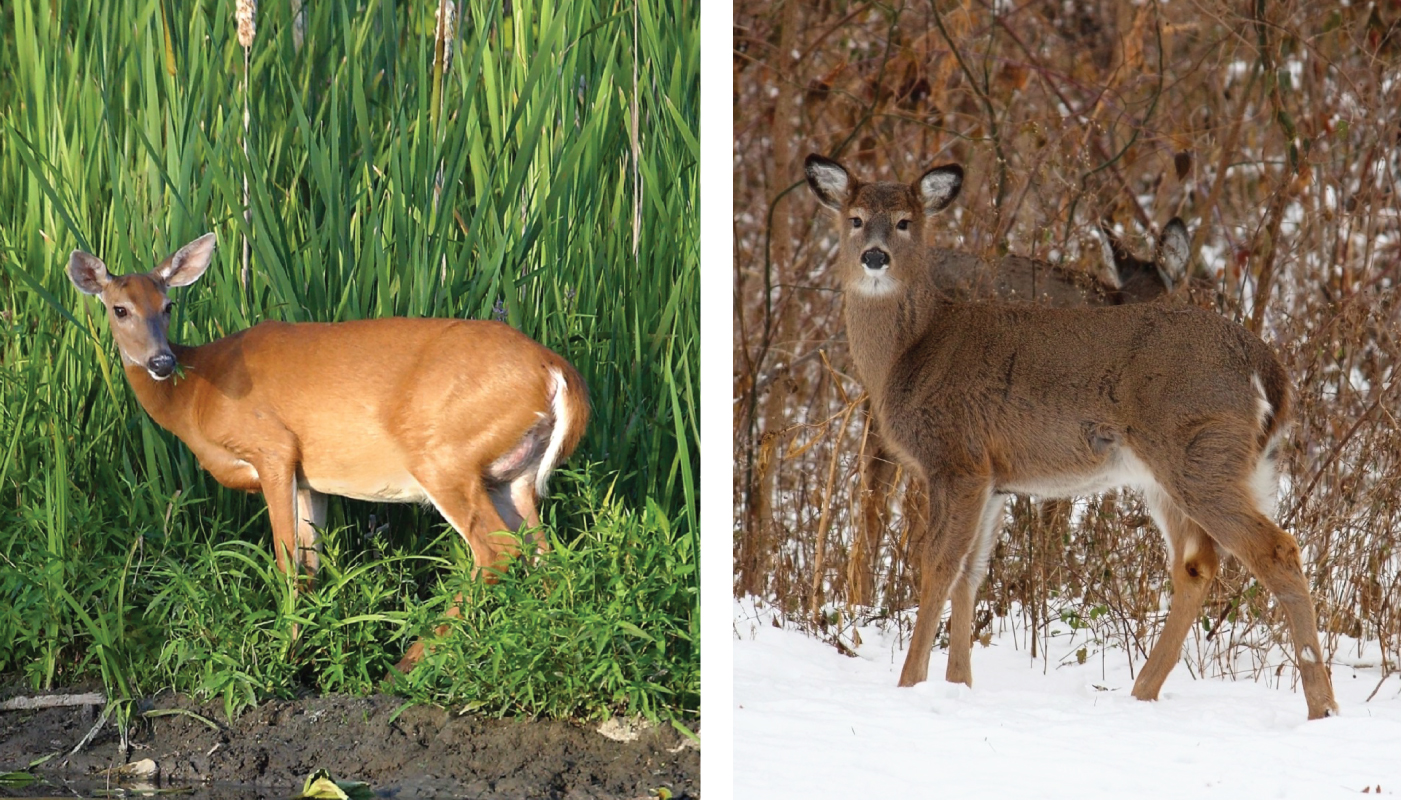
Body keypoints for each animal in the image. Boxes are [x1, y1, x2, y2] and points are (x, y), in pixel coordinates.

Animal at [67, 233, 590, 672]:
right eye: (120, 309)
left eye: (168, 305)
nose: (161, 361)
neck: (196, 396)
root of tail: (555, 370)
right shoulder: (308, 478)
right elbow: (311, 564)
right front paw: (307, 648)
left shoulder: (273, 448)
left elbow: (285, 562)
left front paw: (283, 653)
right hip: (512, 475)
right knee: (545, 555)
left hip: (442, 456)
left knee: (498, 552)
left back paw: (410, 661)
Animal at [804, 153, 1338, 719]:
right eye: (856, 218)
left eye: (905, 221)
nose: (875, 256)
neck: (911, 351)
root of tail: (1267, 369)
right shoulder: (994, 478)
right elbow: (971, 574)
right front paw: (959, 686)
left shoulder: (956, 457)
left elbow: (938, 566)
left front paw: (910, 683)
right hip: (1189, 470)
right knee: (1196, 564)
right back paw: (1143, 691)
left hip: (1199, 454)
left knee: (1276, 549)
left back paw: (1321, 707)